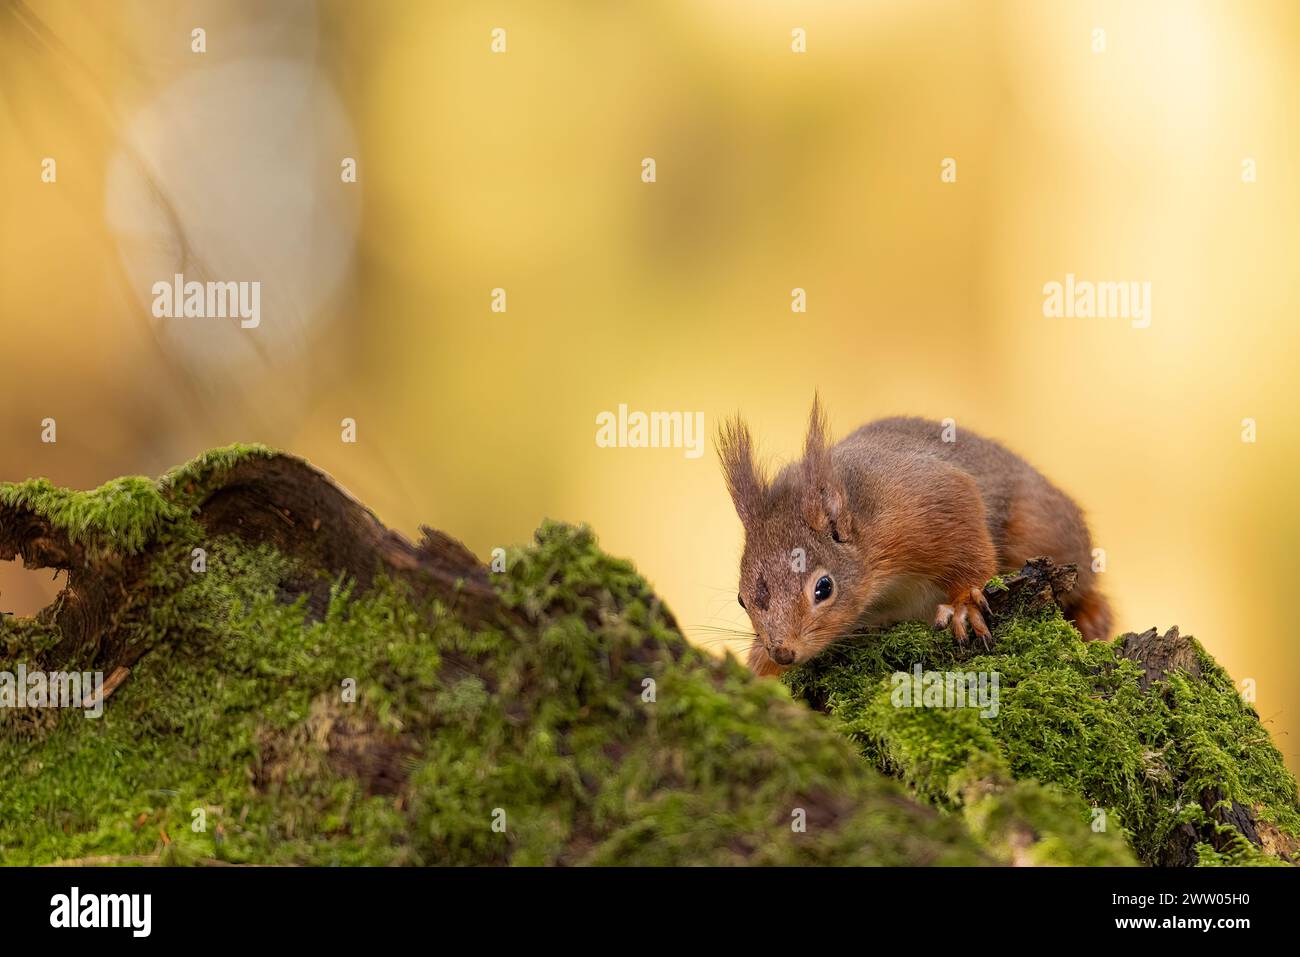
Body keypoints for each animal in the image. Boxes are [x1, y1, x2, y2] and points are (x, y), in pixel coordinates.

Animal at [717, 398, 1112, 677]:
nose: (783, 652)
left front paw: (964, 605)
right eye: (741, 600)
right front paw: (759, 666)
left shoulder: (924, 504)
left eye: (823, 588)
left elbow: (968, 545)